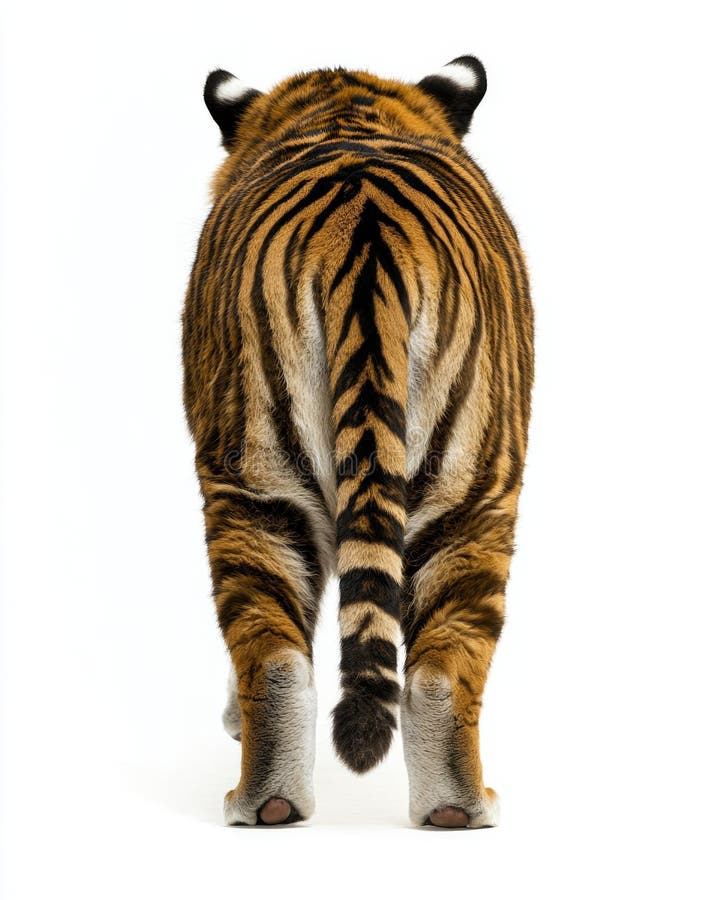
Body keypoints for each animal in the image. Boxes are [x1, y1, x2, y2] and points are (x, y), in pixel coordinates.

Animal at [182, 55, 534, 828]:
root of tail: (363, 227)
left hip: (256, 482)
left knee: (280, 652)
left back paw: (268, 800)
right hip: (472, 488)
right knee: (429, 666)